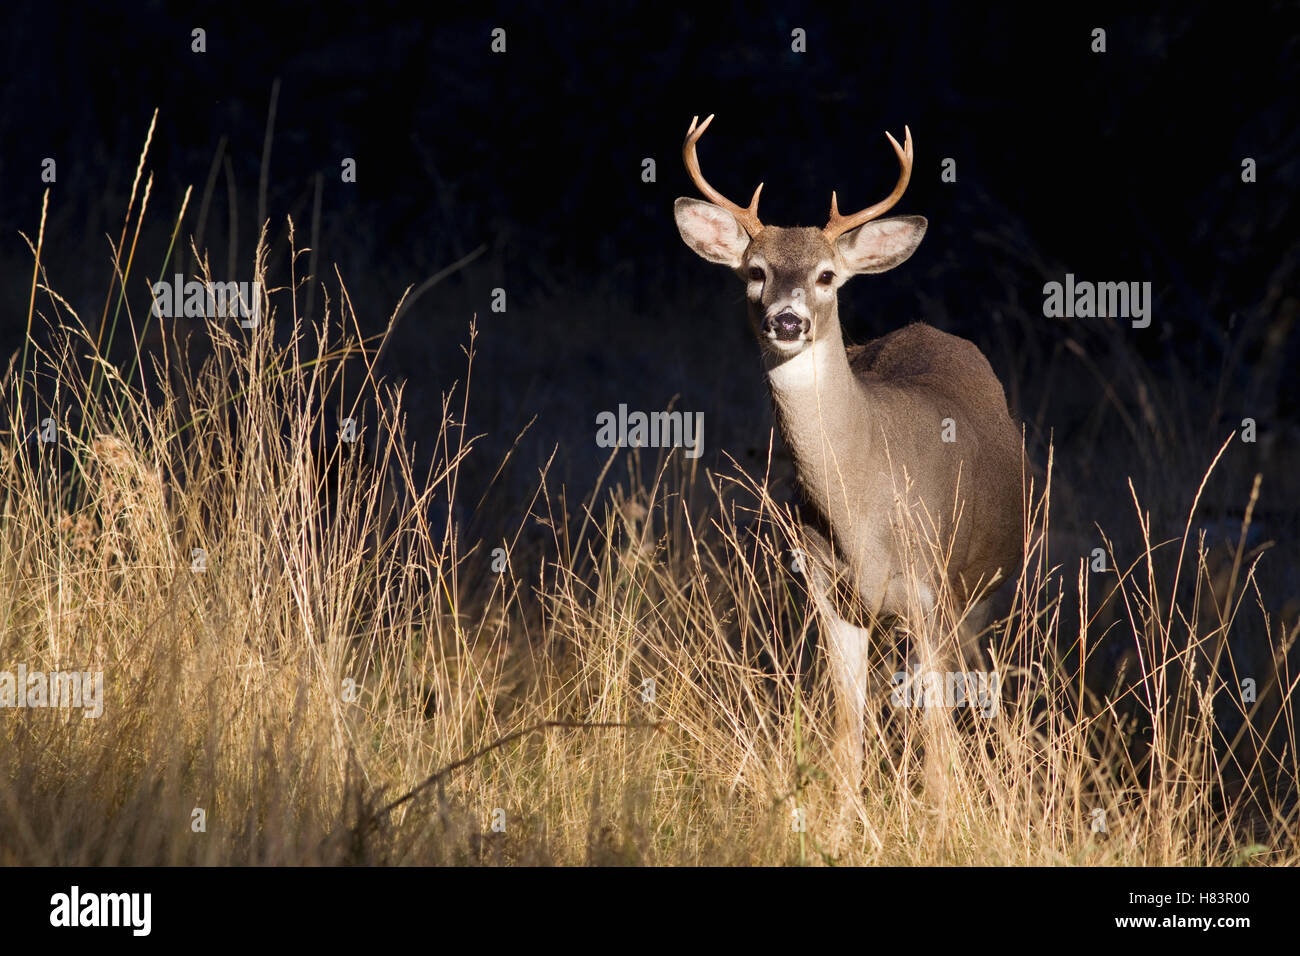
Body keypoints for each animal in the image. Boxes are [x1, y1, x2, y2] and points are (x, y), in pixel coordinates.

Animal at [674, 115, 1024, 793]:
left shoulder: (931, 594)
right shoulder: (829, 595)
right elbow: (846, 738)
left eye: (827, 276)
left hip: (983, 592)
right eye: (754, 271)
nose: (786, 321)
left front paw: (942, 815)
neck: (861, 507)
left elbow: (938, 752)